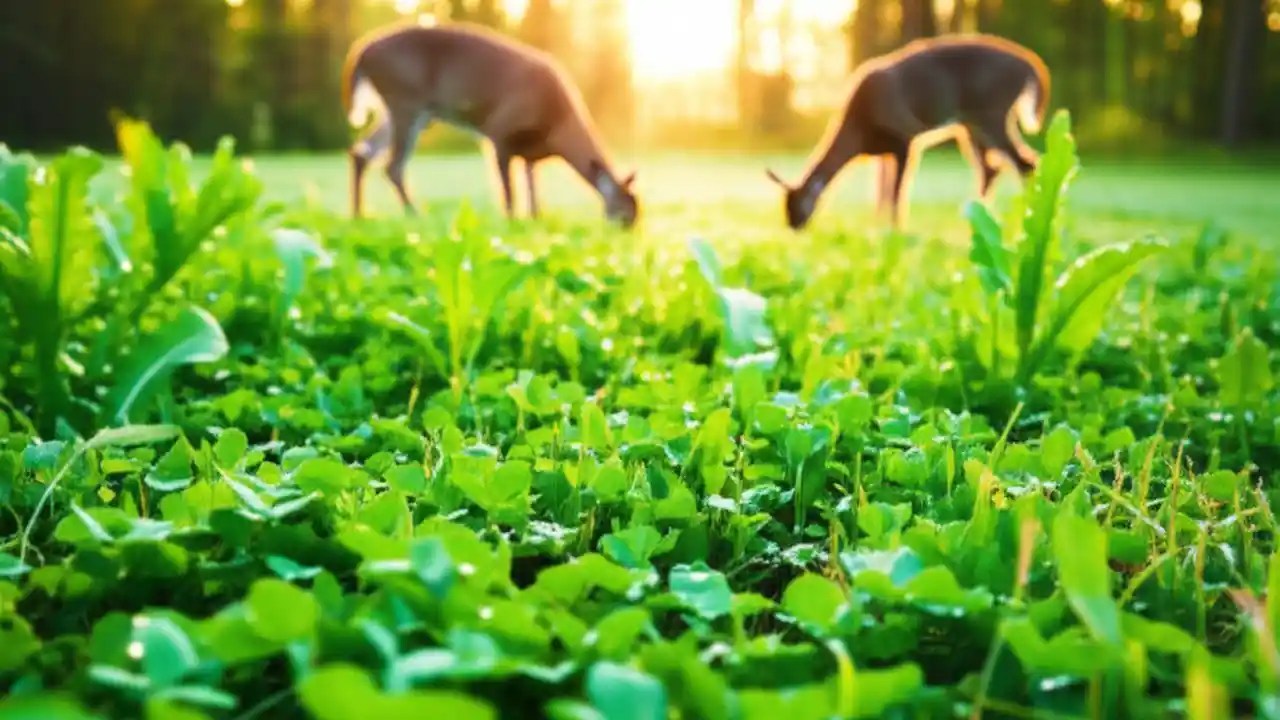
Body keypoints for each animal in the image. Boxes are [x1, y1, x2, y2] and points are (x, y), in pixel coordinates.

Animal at [341, 20, 638, 227]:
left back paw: (359, 214)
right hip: (405, 99)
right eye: (624, 214)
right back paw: (414, 214)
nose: (629, 229)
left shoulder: (529, 153)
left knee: (362, 151)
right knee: (392, 165)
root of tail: (362, 53)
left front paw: (534, 220)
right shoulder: (499, 132)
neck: (556, 126)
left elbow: (532, 188)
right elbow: (509, 191)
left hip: (402, 109)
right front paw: (511, 222)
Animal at [765, 34, 1051, 231]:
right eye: (785, 205)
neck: (859, 132)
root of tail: (1029, 68)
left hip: (992, 112)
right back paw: (974, 216)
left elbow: (896, 193)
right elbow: (880, 193)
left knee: (1024, 163)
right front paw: (878, 228)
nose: (793, 226)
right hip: (971, 124)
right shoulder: (882, 153)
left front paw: (895, 231)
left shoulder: (905, 137)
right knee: (992, 169)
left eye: (799, 205)